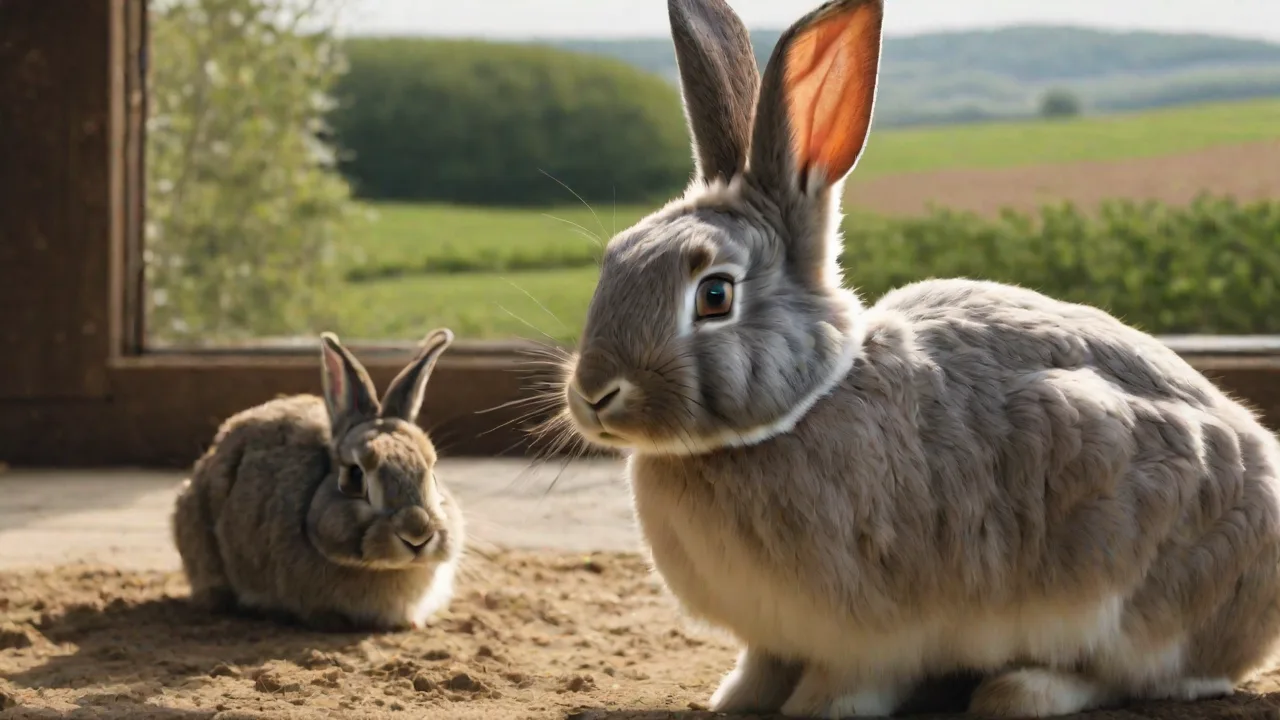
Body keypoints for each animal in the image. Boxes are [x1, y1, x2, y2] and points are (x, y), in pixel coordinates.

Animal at [555, 0, 1280, 717]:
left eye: (714, 295)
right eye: (615, 259)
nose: (594, 393)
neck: (805, 404)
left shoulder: (872, 636)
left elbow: (848, 684)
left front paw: (811, 710)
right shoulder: (775, 636)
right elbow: (761, 667)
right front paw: (735, 701)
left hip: (1132, 587)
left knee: (1149, 675)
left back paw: (1019, 691)